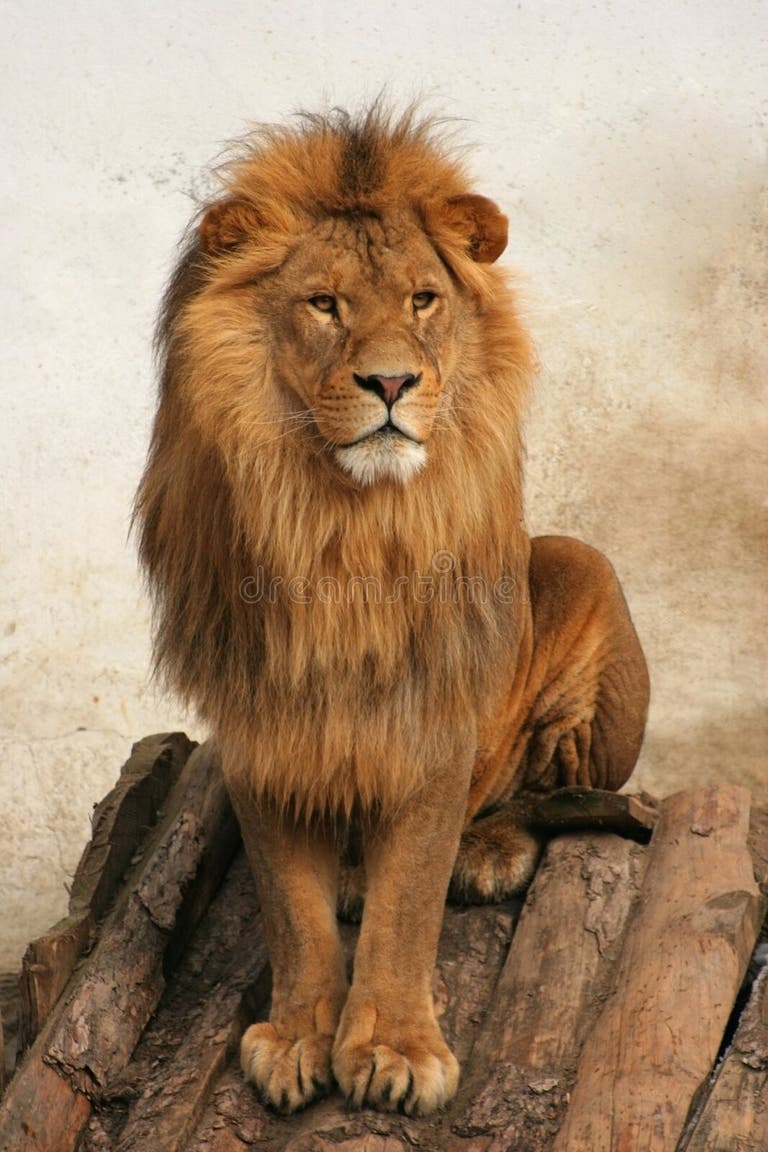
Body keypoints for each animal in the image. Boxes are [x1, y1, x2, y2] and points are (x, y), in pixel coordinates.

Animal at [135, 106, 649, 1117]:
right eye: (324, 305)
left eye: (421, 300)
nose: (391, 384)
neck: (346, 529)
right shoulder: (262, 717)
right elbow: (289, 904)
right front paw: (301, 1033)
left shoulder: (432, 707)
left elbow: (409, 898)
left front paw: (398, 1048)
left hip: (581, 570)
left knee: (547, 796)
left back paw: (485, 850)